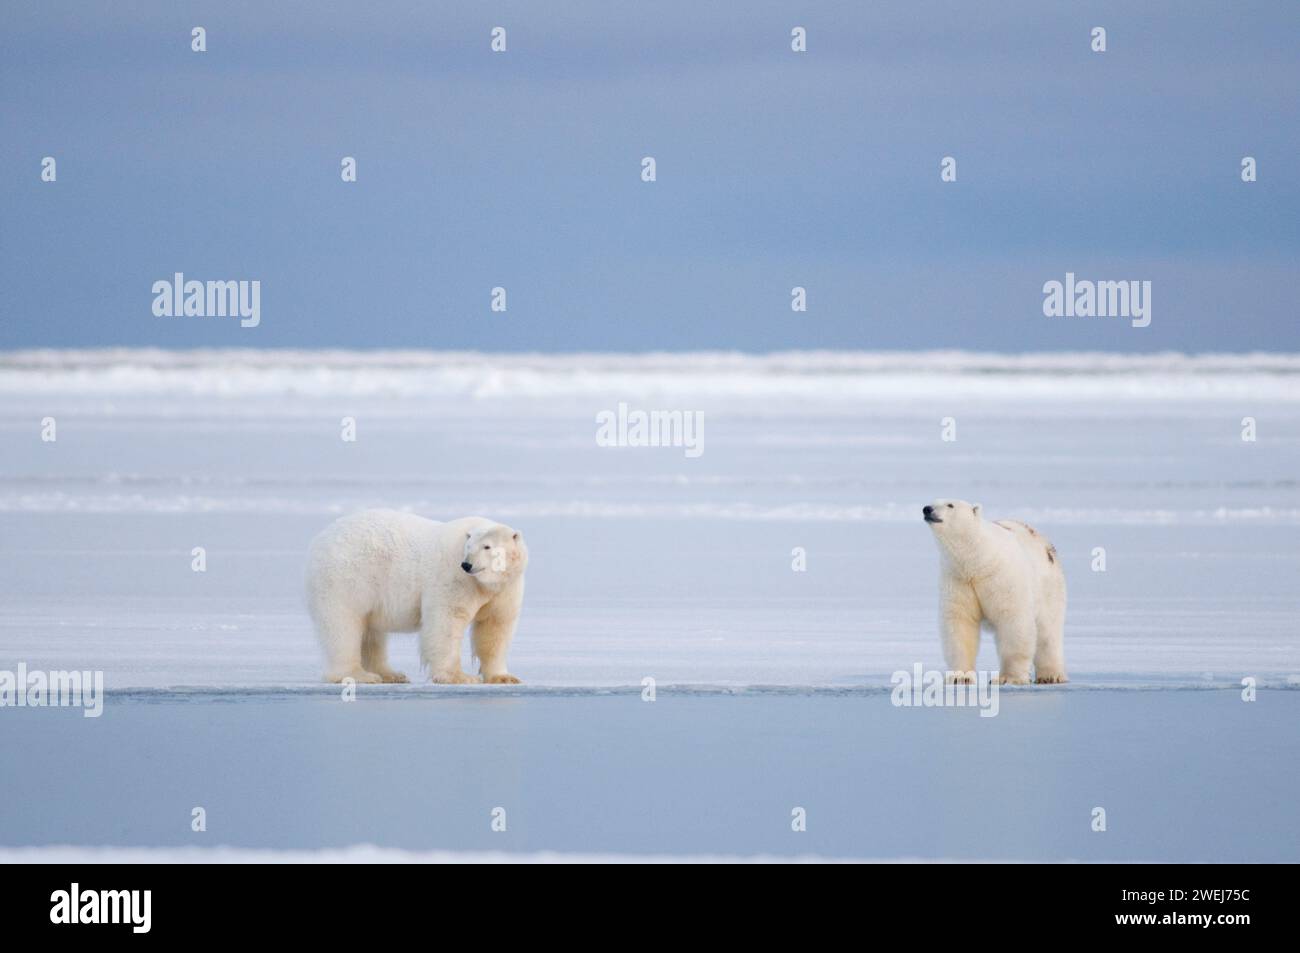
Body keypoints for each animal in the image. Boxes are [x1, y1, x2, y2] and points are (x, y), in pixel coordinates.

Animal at [305, 509, 528, 685]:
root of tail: (319, 540)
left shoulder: (505, 589)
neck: (484, 584)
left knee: (372, 634)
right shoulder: (455, 579)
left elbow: (495, 627)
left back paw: (391, 674)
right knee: (343, 625)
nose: (466, 564)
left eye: (487, 546)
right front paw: (460, 677)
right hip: (346, 579)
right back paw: (358, 675)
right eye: (468, 547)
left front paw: (504, 677)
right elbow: (447, 622)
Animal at [923, 498, 1067, 685]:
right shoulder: (958, 580)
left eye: (950, 505)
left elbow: (1013, 621)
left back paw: (1050, 675)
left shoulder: (1002, 577)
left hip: (1048, 586)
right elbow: (960, 624)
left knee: (1048, 631)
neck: (978, 561)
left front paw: (1008, 678)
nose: (927, 509)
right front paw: (960, 677)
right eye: (933, 502)